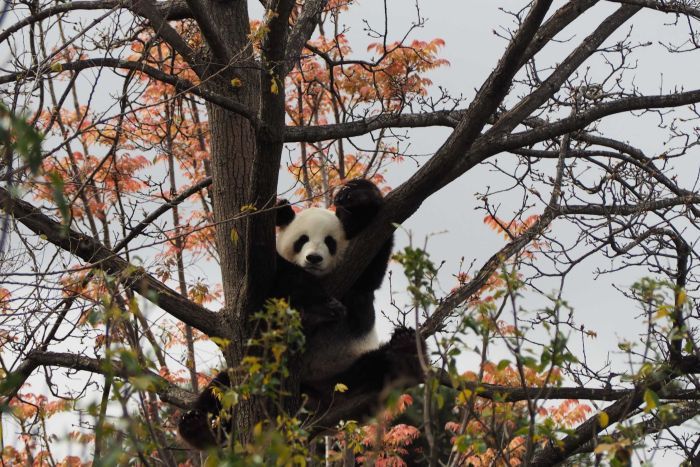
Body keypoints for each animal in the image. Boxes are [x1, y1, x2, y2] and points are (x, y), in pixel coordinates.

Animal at [178, 179, 425, 450]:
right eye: (302, 240)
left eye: (330, 242)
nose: (313, 258)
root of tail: (320, 400)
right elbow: (283, 281)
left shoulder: (359, 274)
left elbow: (371, 270)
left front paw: (358, 197)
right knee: (221, 388)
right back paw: (197, 429)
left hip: (347, 372)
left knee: (383, 365)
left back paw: (406, 349)